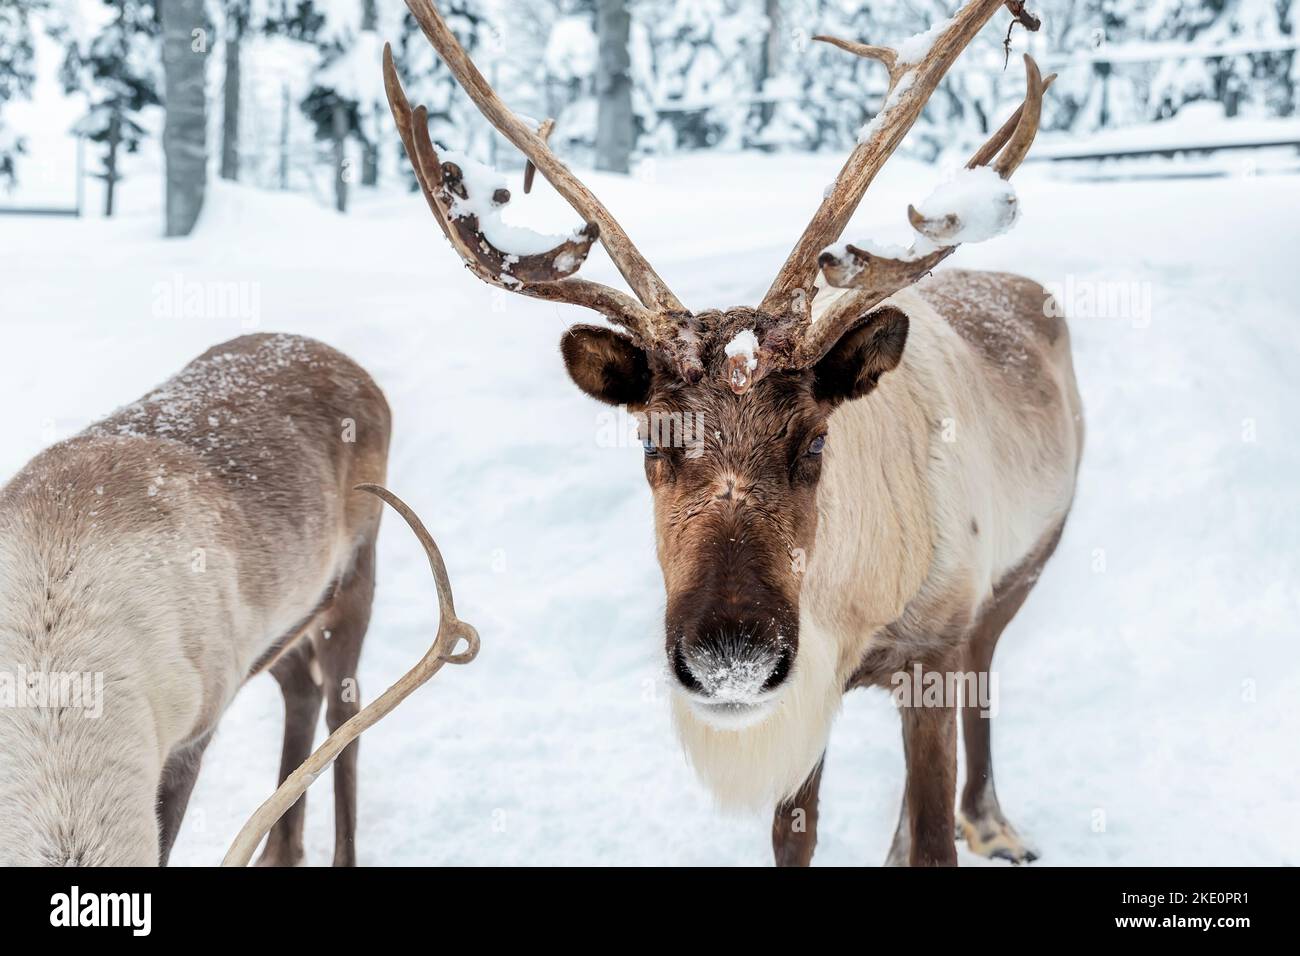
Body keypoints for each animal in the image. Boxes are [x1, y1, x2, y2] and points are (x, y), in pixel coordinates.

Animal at [0, 333, 391, 867]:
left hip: (353, 578)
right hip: (275, 629)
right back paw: (279, 851)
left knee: (343, 711)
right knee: (302, 691)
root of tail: (345, 361)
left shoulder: (192, 734)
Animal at [388, 0, 1082, 865]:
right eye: (652, 441)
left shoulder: (934, 647)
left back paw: (990, 821)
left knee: (986, 675)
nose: (731, 657)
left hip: (1025, 568)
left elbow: (933, 832)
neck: (853, 617)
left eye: (815, 442)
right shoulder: (802, 701)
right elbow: (796, 834)